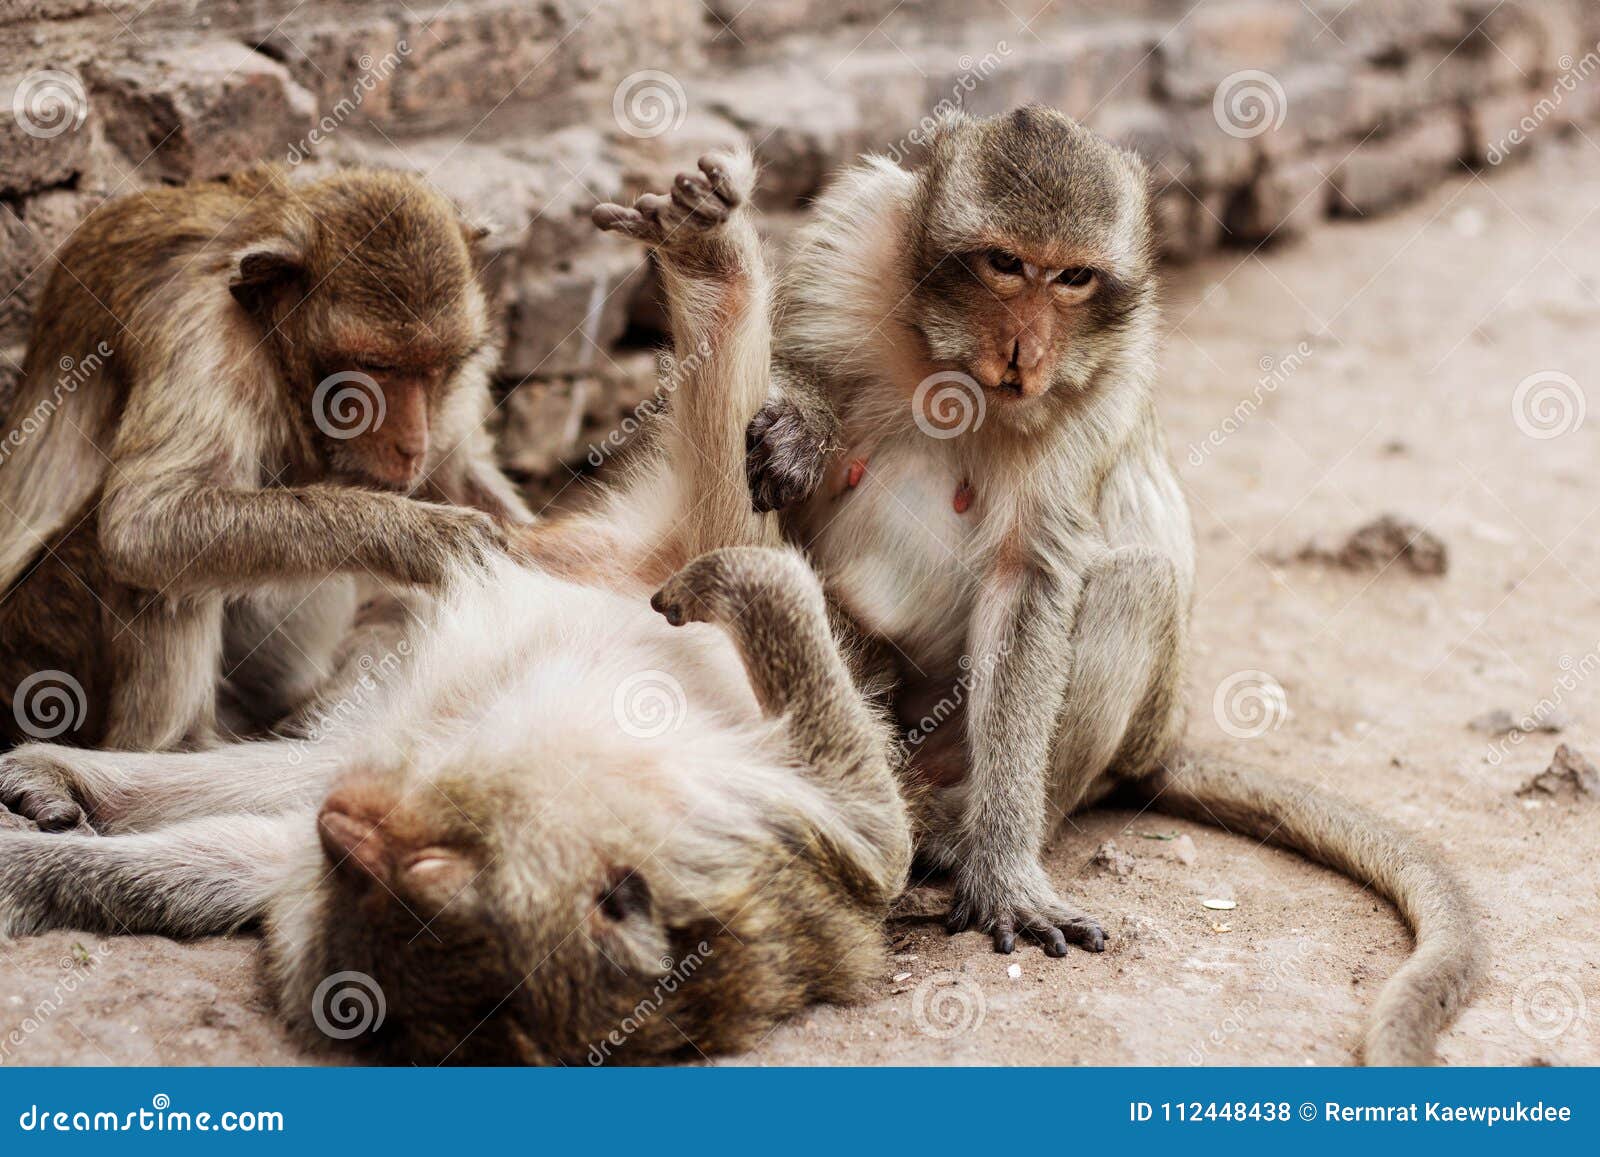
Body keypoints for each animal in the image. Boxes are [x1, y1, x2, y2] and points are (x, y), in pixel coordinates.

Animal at [0, 165, 531, 754]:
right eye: (375, 368)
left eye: (434, 367)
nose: (412, 444)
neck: (266, 332)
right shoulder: (203, 330)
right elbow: (145, 522)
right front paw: (424, 538)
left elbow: (460, 471)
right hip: (35, 652)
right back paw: (171, 750)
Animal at [741, 106, 1481, 1065]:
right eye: (1005, 262)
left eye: (1073, 278)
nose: (1025, 352)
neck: (946, 356)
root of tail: (1161, 743)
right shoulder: (855, 237)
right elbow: (793, 372)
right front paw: (799, 426)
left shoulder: (1103, 378)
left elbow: (1031, 581)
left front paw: (1005, 874)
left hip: (1111, 737)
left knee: (1138, 582)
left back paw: (954, 839)